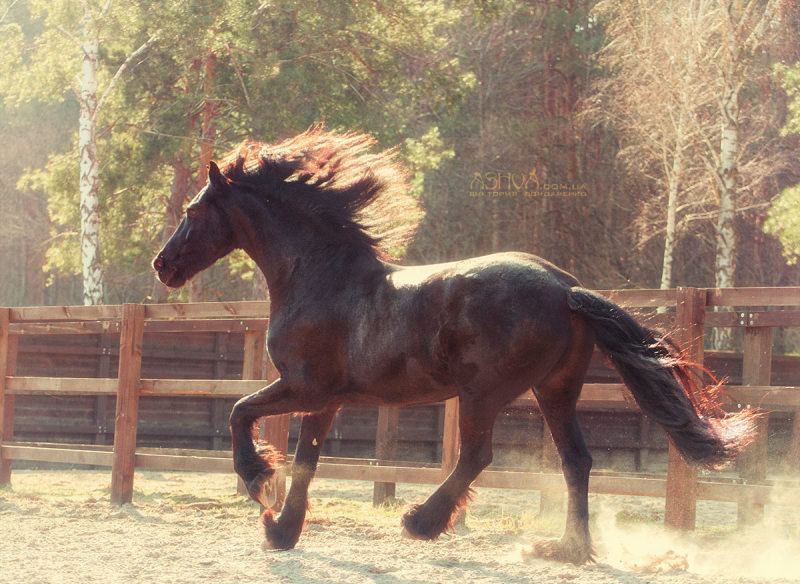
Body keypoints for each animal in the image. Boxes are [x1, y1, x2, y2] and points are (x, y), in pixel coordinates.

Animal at [153, 127, 755, 564]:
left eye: (192, 212)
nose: (163, 265)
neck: (320, 278)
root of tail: (565, 287)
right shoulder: (325, 400)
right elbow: (307, 459)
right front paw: (282, 530)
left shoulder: (304, 387)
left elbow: (240, 412)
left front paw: (259, 481)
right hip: (555, 390)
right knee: (575, 461)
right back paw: (566, 550)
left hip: (483, 393)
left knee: (478, 455)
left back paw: (422, 521)